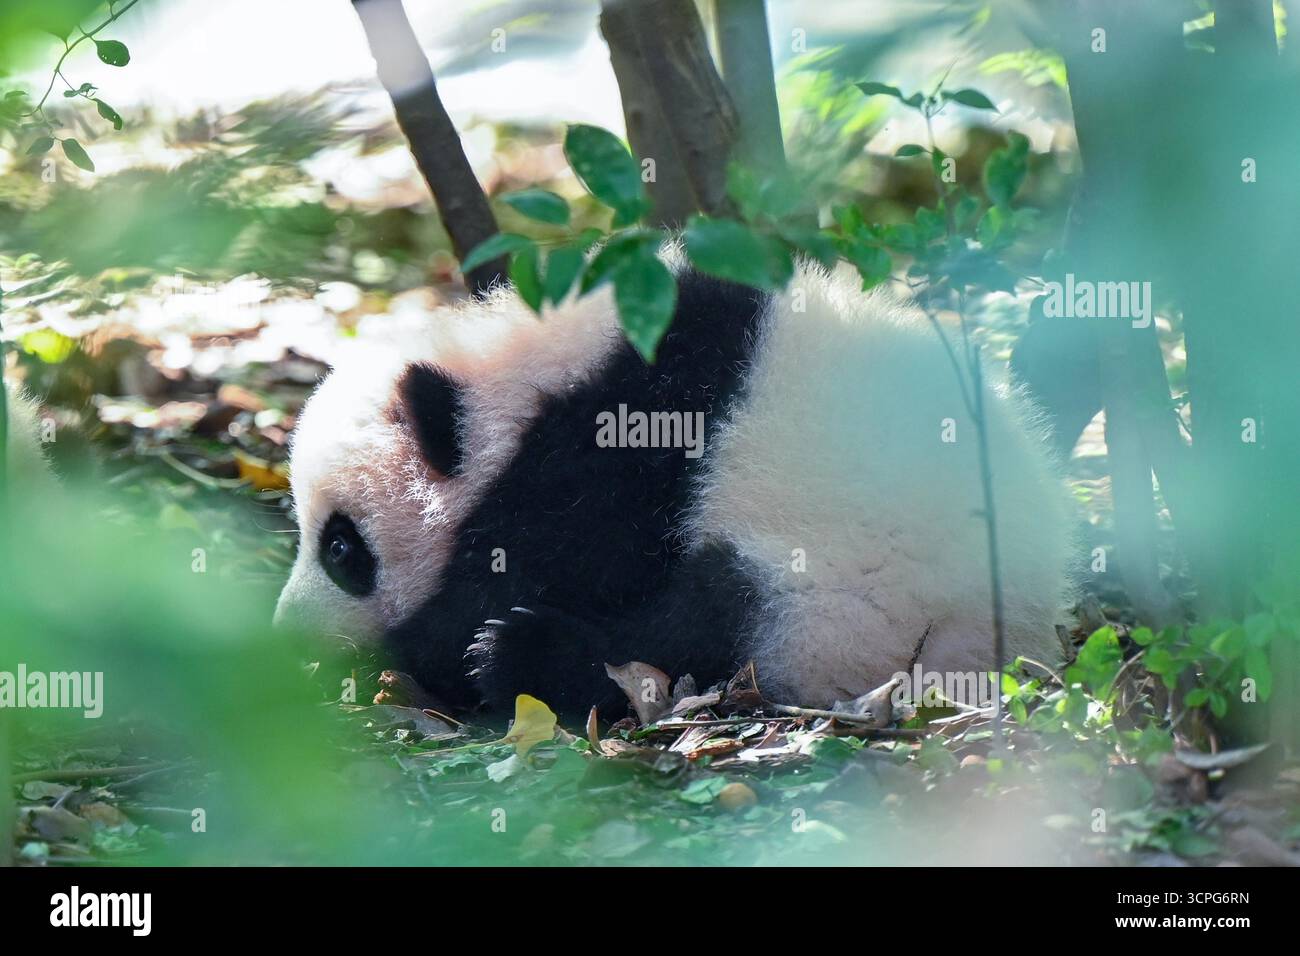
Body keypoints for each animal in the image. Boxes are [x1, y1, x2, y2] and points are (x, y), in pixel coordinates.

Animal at [274, 253, 1076, 717]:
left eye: (342, 550)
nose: (289, 632)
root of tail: (1030, 642)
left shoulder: (617, 453)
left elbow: (541, 563)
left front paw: (435, 644)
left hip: (861, 602)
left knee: (715, 619)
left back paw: (521, 658)